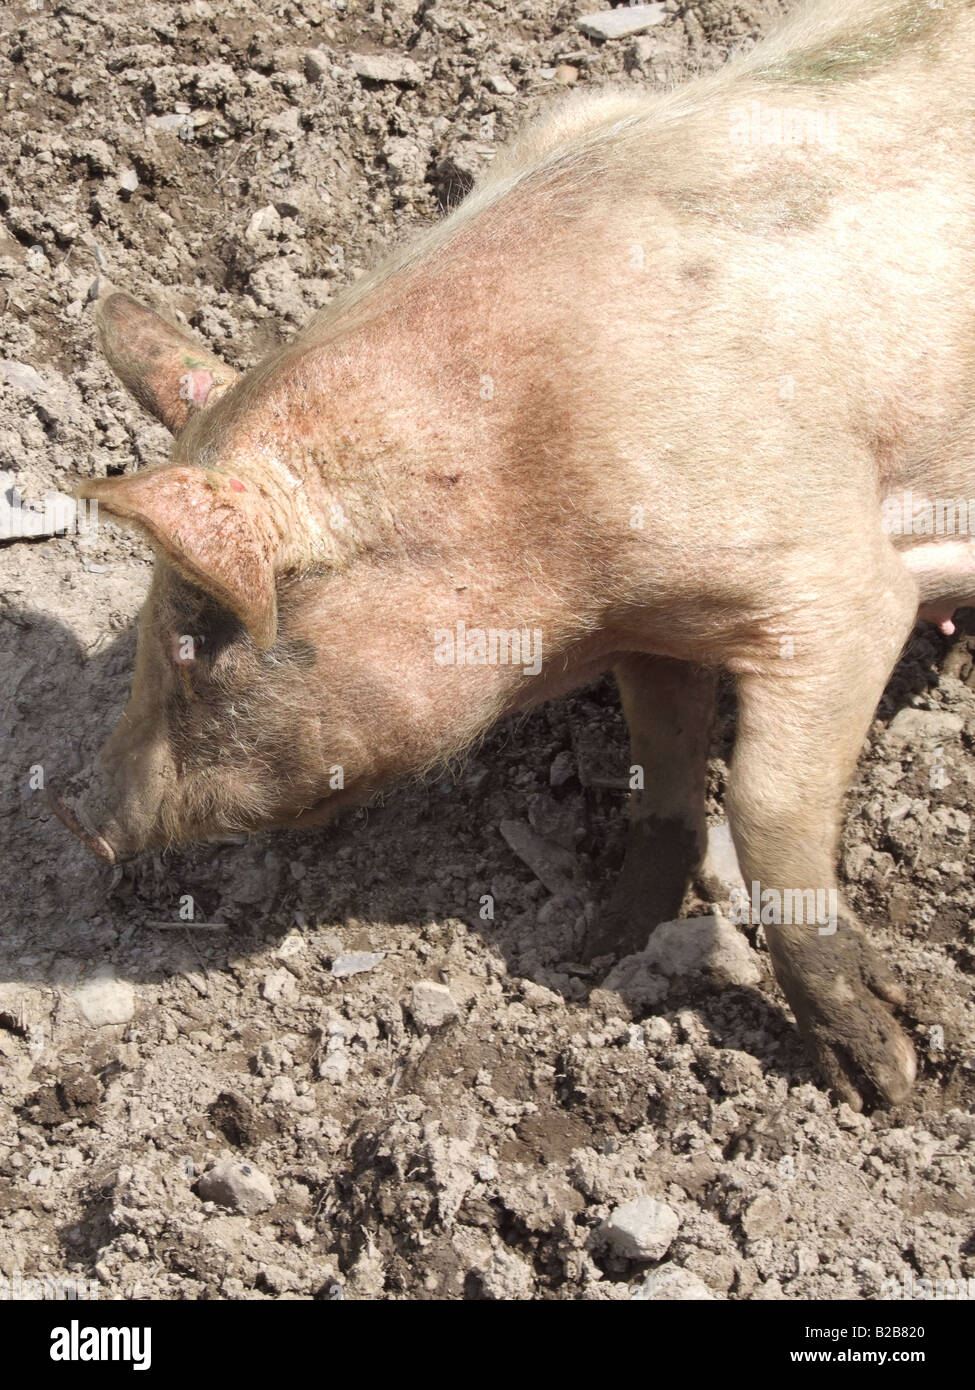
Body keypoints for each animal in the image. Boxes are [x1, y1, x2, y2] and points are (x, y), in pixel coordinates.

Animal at [51, 0, 975, 1110]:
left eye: (197, 644)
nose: (76, 812)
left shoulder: (832, 581)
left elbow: (763, 801)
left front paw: (883, 1079)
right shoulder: (656, 629)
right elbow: (661, 776)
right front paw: (599, 955)